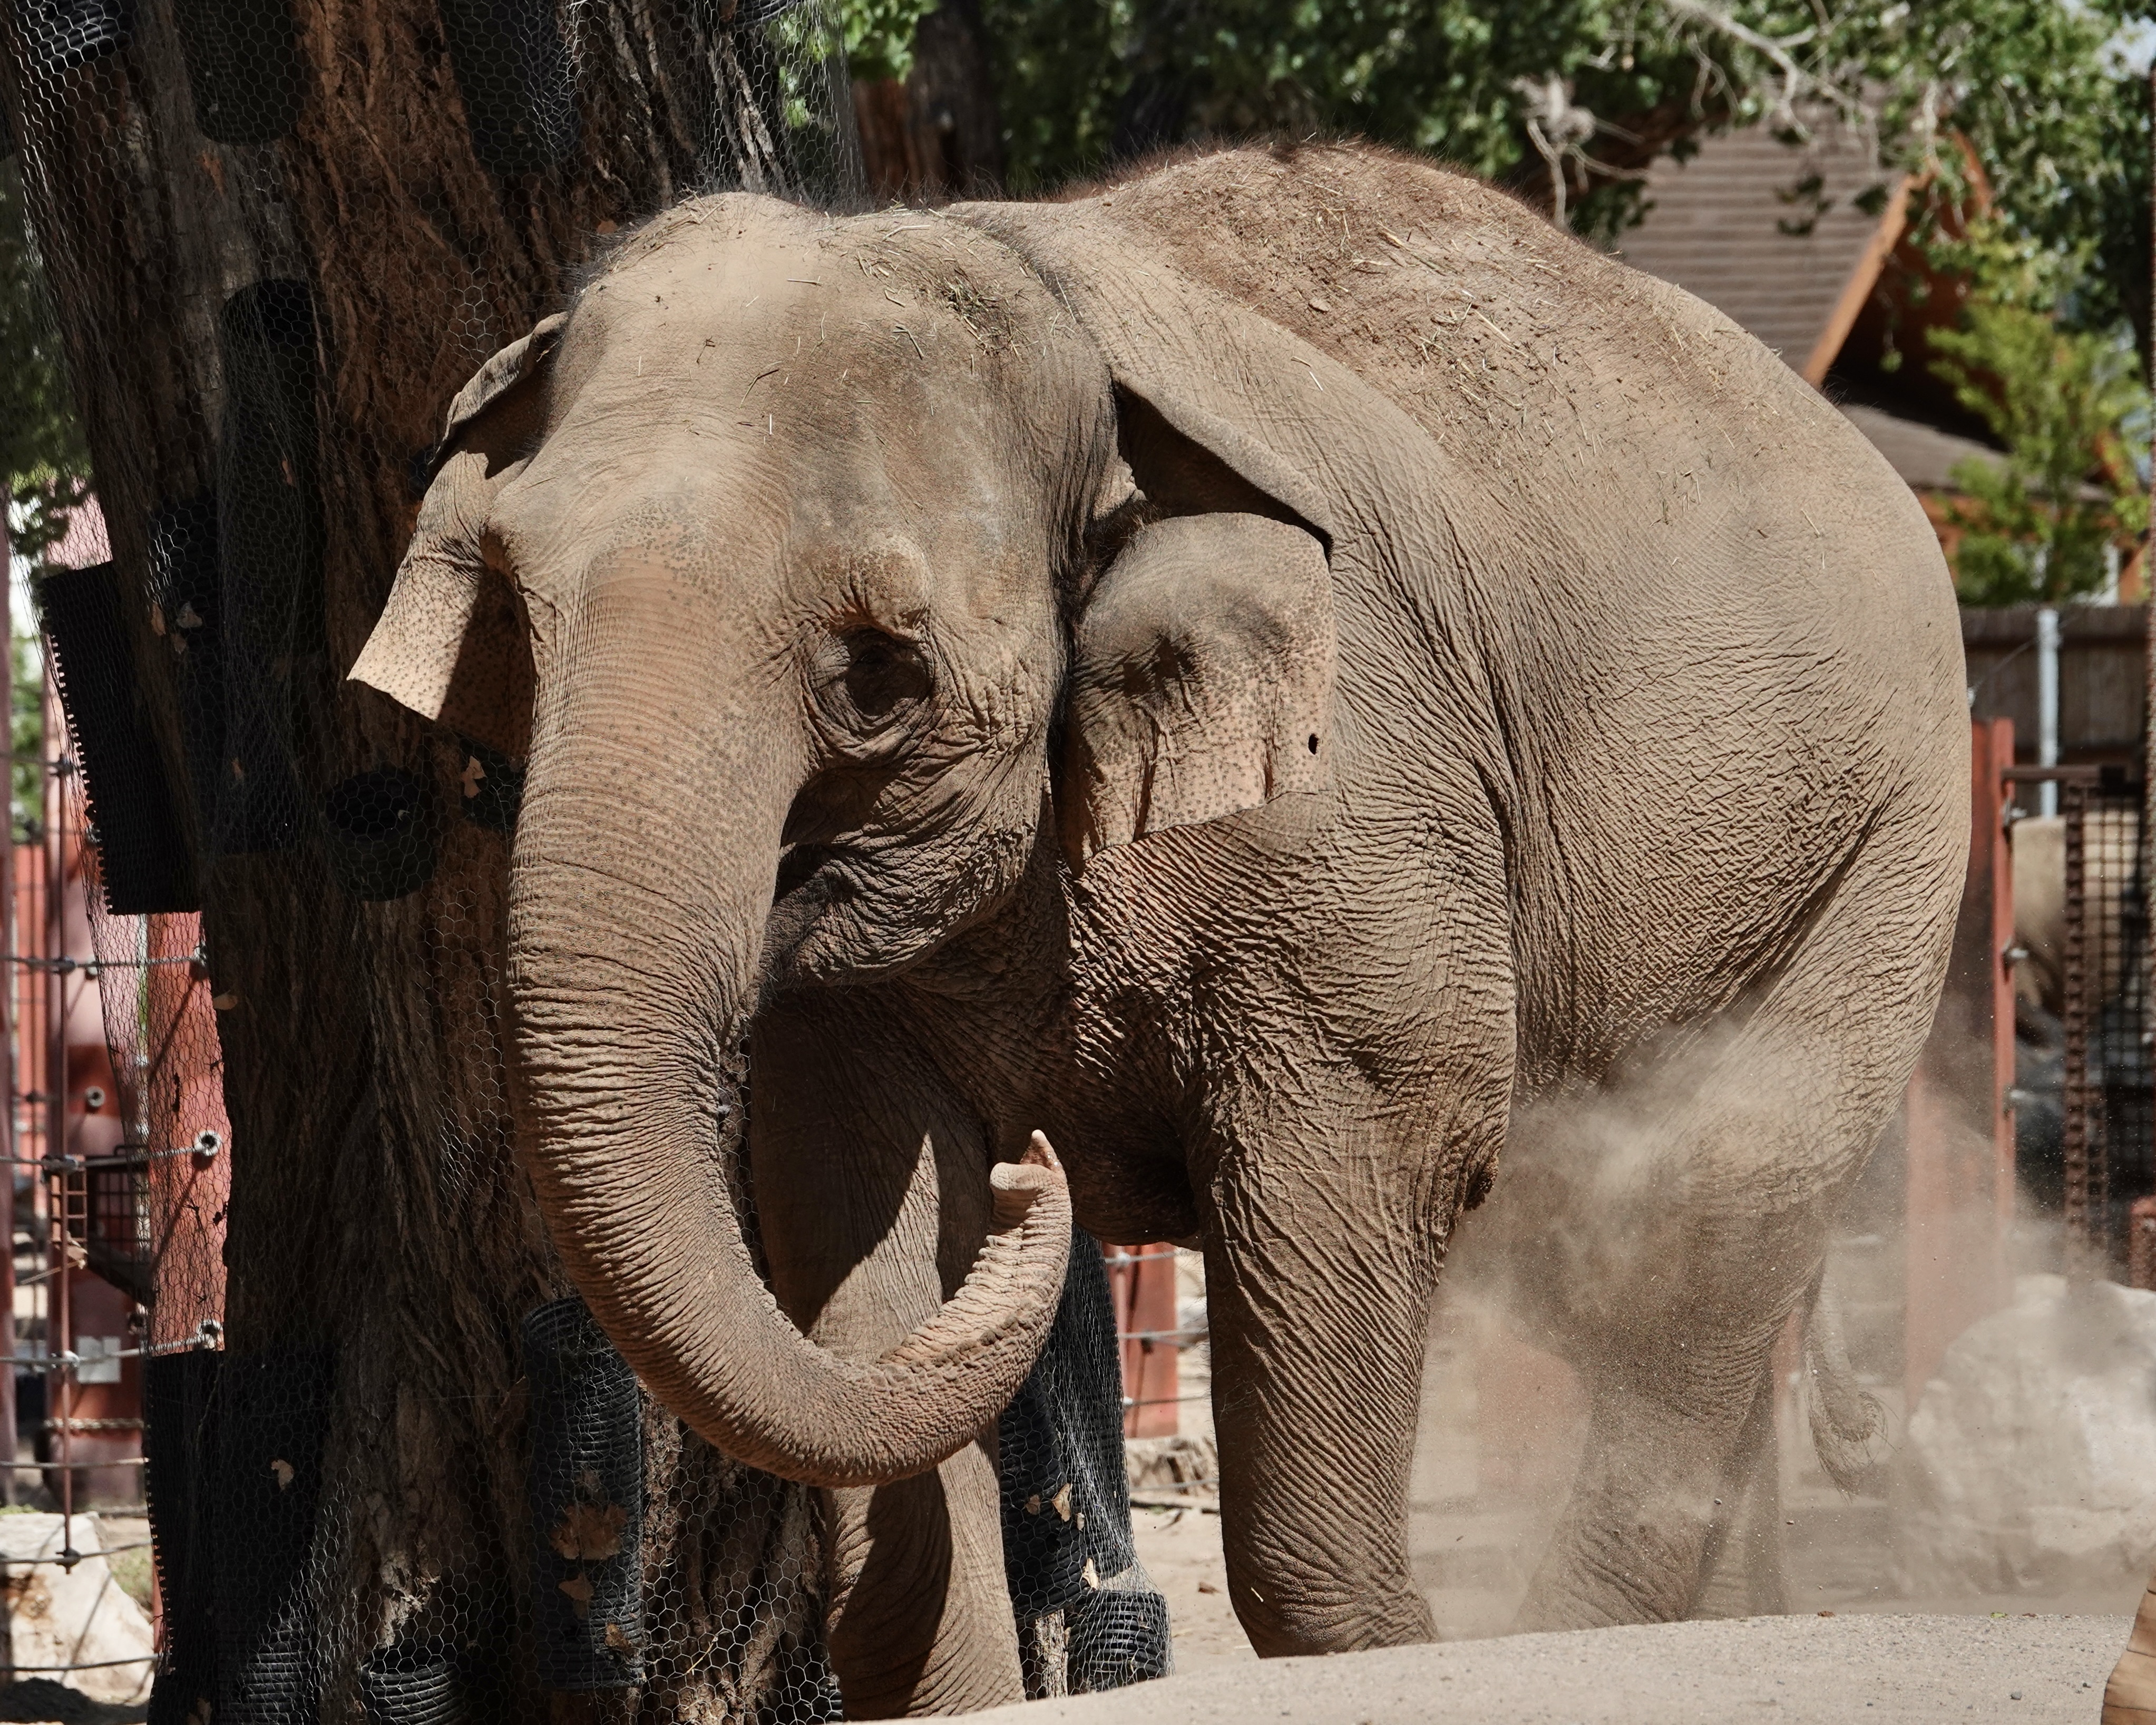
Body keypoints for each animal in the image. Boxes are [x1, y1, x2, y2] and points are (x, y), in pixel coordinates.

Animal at [349, 141, 1968, 1714]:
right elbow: (843, 1193)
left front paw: (1388, 1645)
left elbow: (1378, 1147)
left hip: (1894, 835)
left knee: (1720, 1194)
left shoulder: (1365, 801)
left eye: (878, 673)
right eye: (510, 613)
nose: (1030, 1181)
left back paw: (1584, 1634)